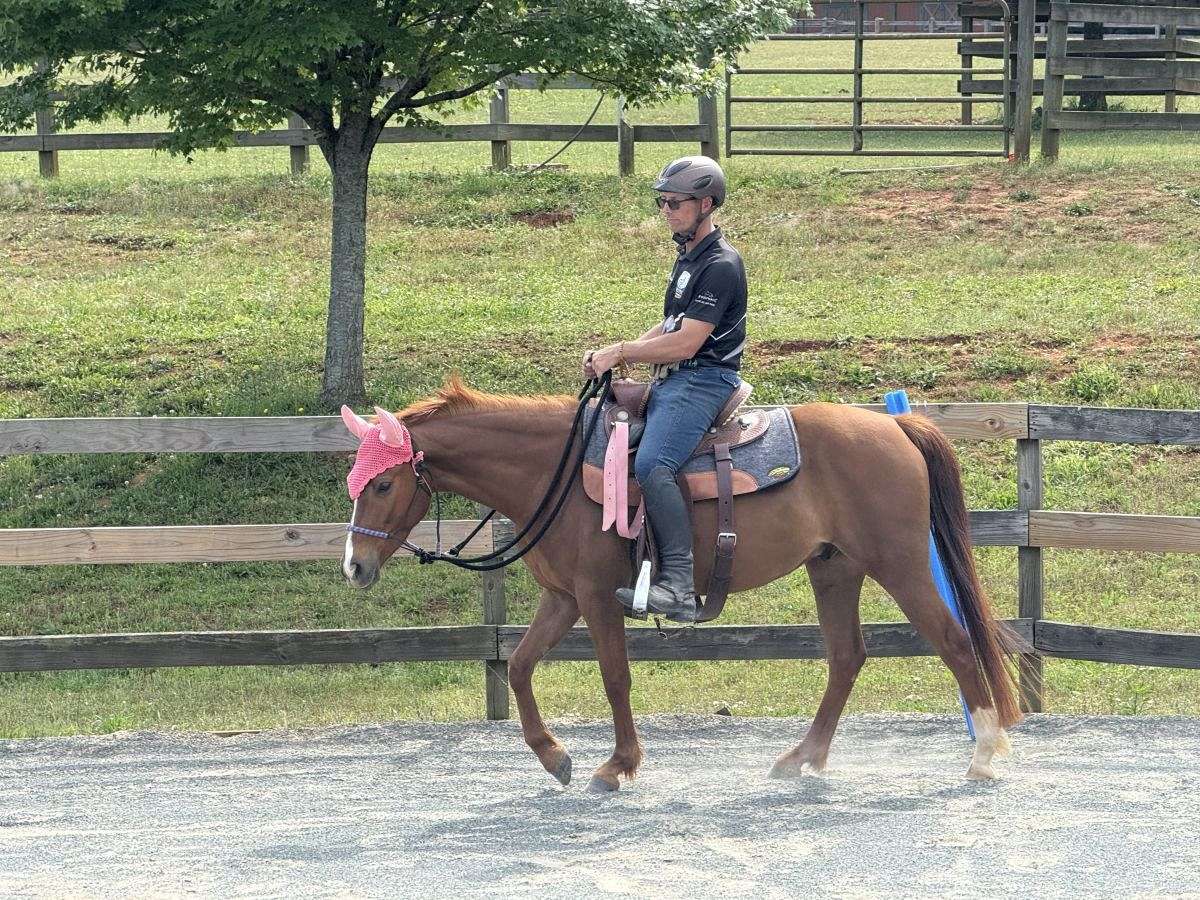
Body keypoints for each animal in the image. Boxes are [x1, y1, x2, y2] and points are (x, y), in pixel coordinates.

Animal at [339, 375, 1024, 792]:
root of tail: (895, 429)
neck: (552, 473)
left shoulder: (596, 597)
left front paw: (617, 765)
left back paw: (984, 752)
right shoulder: (562, 599)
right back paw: (801, 758)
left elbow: (615, 677)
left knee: (953, 641)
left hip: (900, 563)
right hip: (834, 567)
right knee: (846, 657)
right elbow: (520, 665)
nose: (354, 566)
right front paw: (555, 757)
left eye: (382, 483)